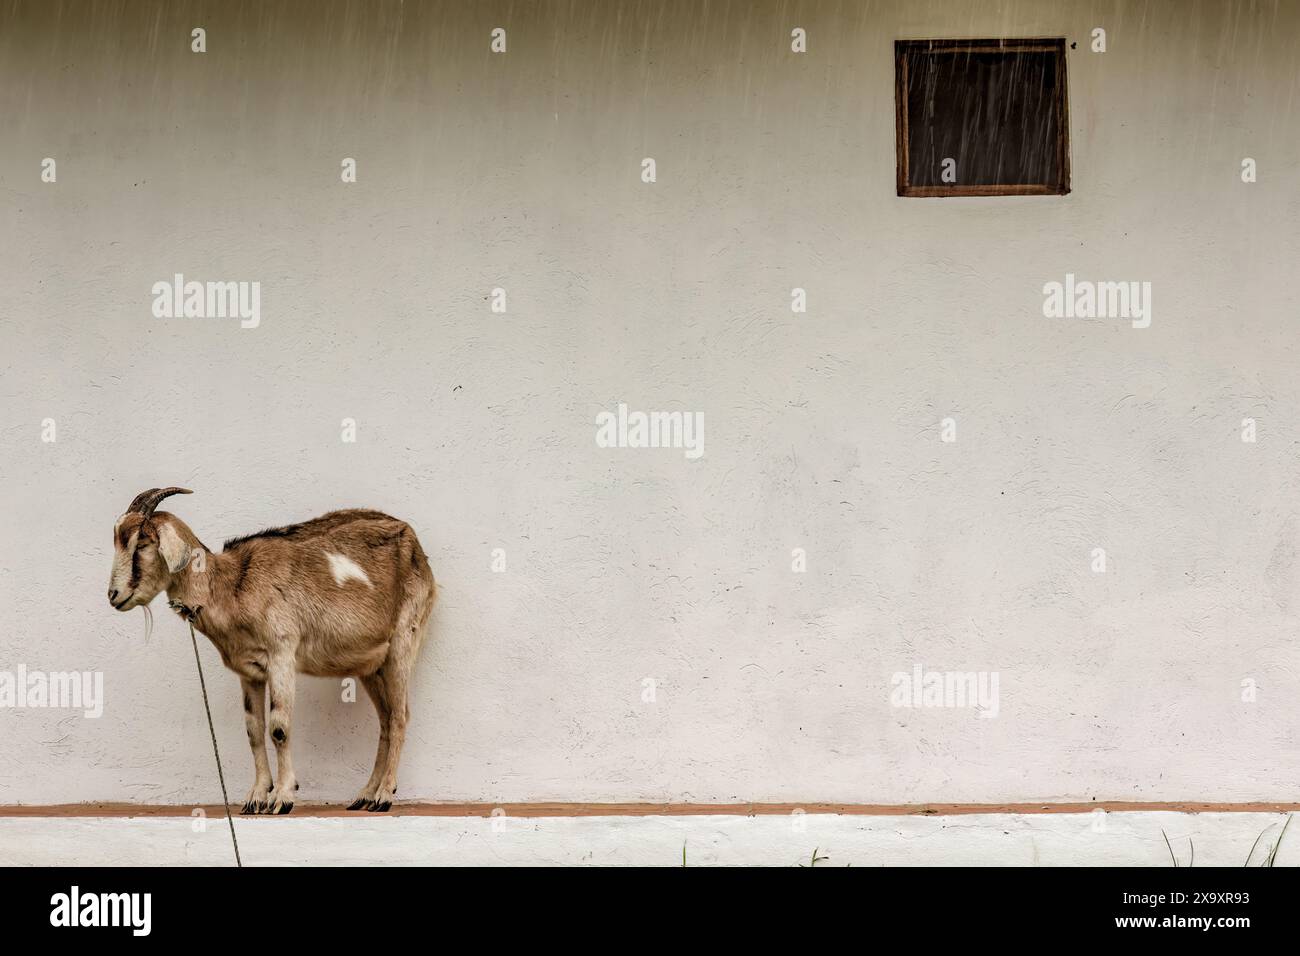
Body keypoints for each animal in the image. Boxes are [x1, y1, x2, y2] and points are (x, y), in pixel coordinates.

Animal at [107, 487, 436, 814]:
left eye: (143, 543)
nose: (114, 595)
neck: (232, 585)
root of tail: (416, 546)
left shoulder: (282, 655)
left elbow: (279, 728)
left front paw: (282, 797)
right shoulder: (249, 670)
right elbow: (253, 729)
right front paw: (255, 797)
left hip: (404, 640)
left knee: (400, 716)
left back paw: (384, 795)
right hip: (371, 665)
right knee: (386, 719)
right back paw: (365, 795)